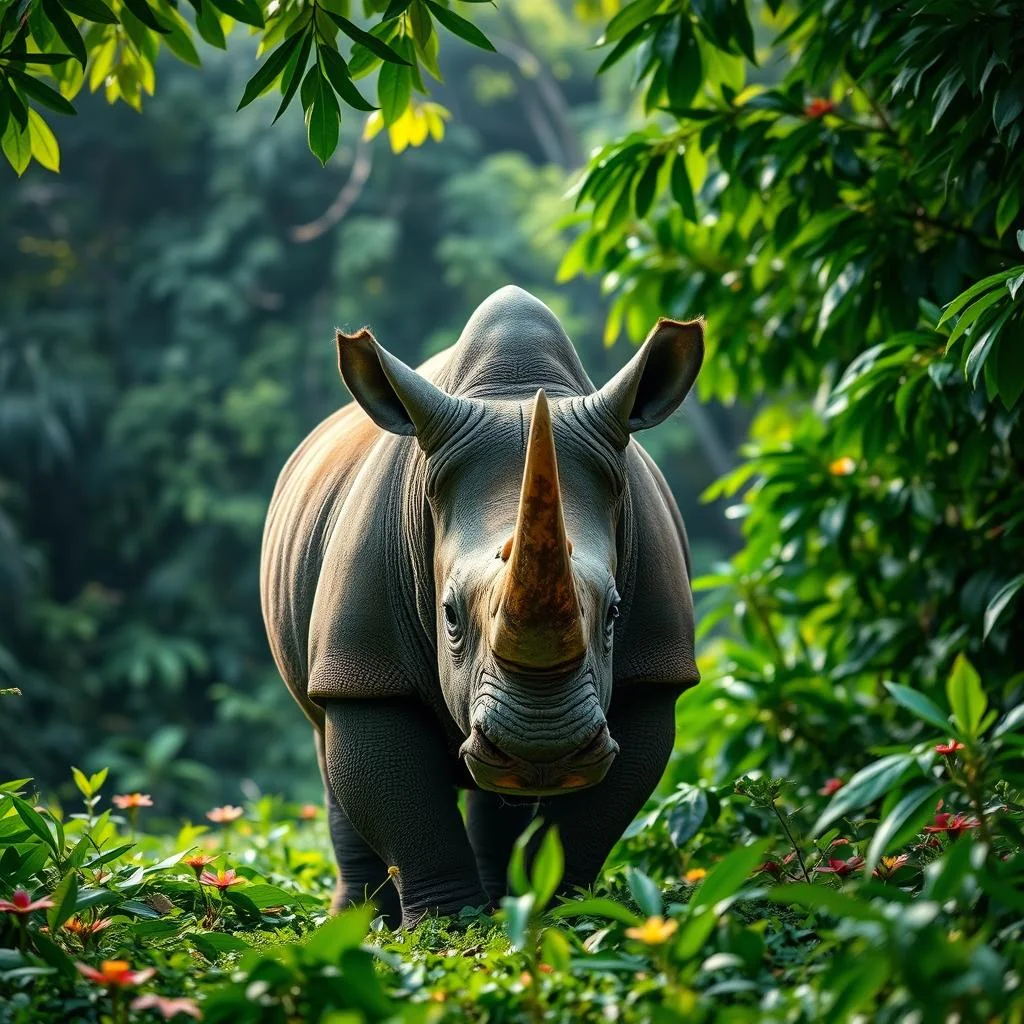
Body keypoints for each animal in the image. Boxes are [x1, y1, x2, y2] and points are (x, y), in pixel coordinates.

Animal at [260, 286, 703, 927]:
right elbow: (402, 806)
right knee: (326, 741)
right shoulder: (363, 669)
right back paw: (360, 920)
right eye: (447, 614)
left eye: (616, 613)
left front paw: (562, 914)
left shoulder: (653, 670)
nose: (542, 743)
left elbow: (592, 820)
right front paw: (444, 928)